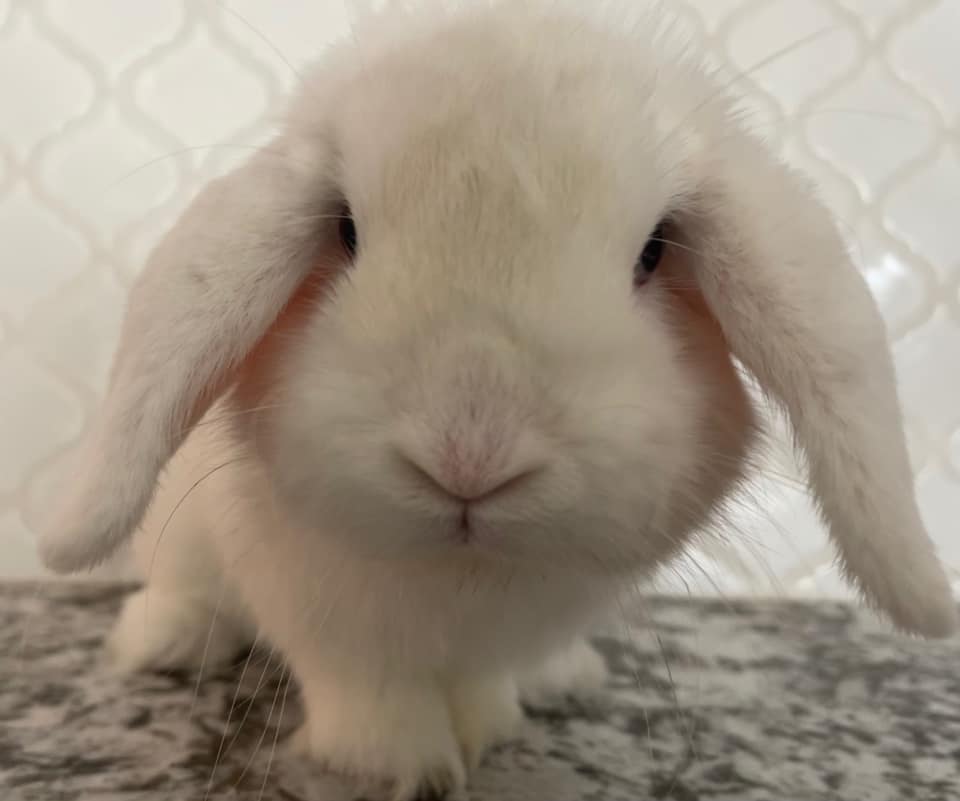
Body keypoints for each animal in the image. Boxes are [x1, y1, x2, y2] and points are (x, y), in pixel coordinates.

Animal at [37, 0, 957, 798]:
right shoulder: (321, 616)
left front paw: (489, 726)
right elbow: (368, 691)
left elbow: (484, 684)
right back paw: (160, 641)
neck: (464, 575)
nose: (469, 457)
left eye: (655, 250)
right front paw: (402, 766)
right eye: (344, 230)